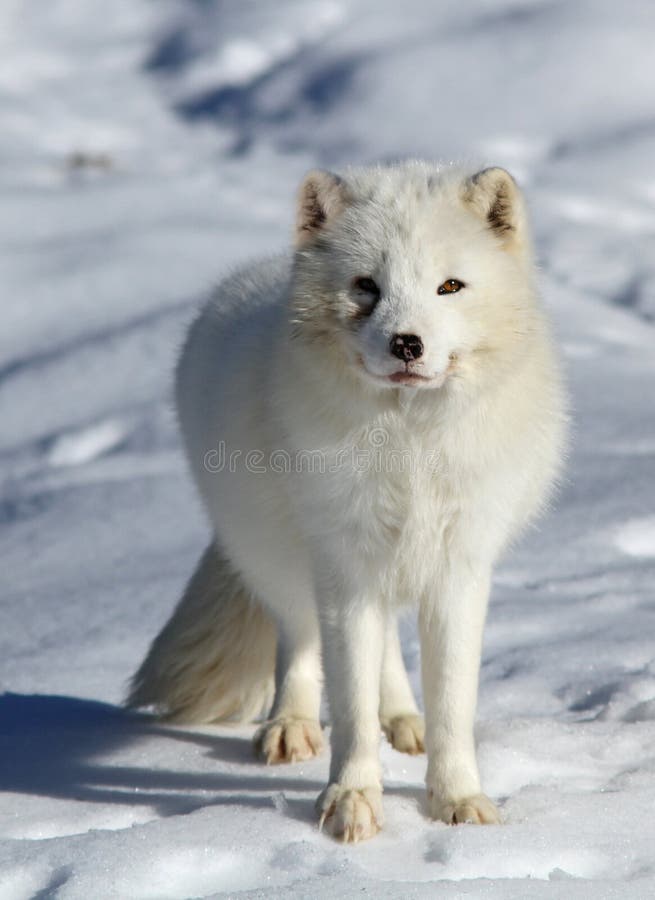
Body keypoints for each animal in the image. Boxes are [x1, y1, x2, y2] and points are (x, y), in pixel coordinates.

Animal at [128, 161, 567, 842]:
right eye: (366, 286)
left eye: (449, 286)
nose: (407, 343)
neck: (409, 447)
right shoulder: (345, 568)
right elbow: (350, 700)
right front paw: (350, 800)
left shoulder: (458, 570)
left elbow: (453, 704)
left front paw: (457, 799)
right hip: (281, 559)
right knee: (300, 641)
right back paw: (291, 724)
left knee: (387, 651)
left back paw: (404, 720)